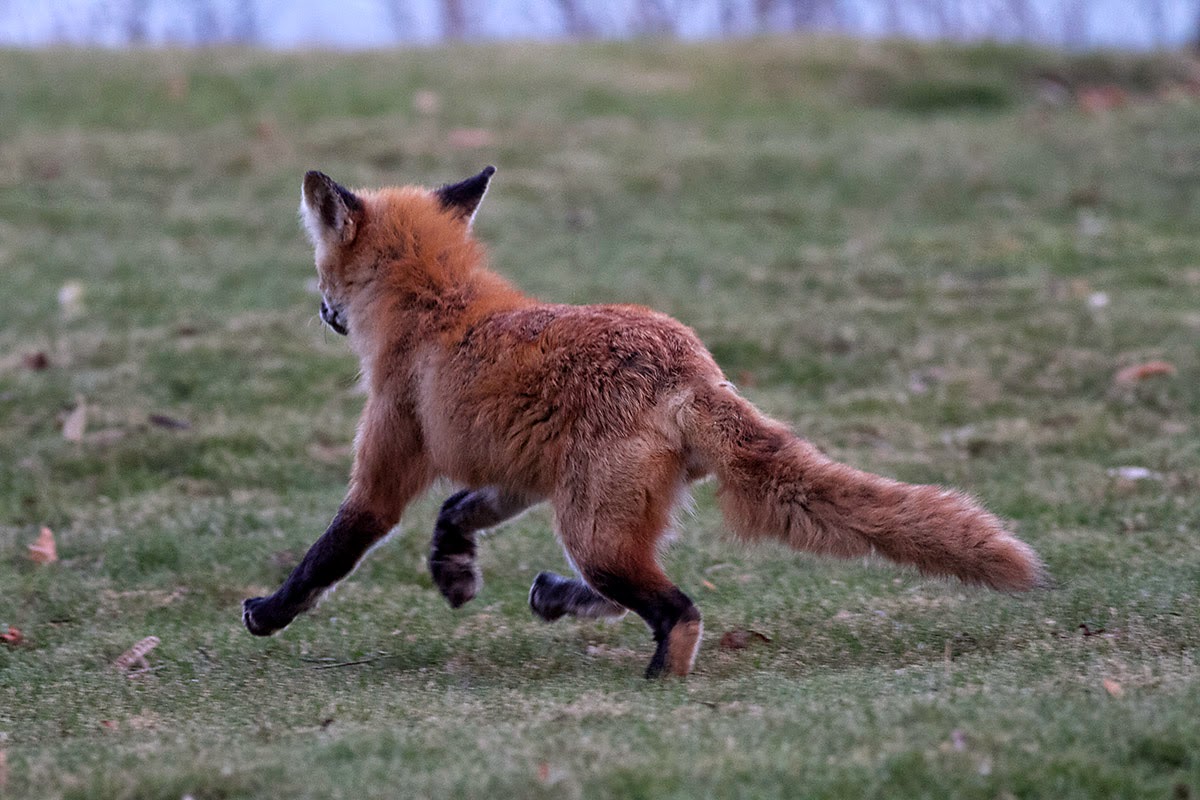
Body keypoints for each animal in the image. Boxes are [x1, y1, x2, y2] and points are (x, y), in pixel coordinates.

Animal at [241, 166, 1050, 678]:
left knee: (678, 607)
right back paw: (558, 598)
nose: (325, 312)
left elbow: (328, 555)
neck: (436, 308)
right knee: (625, 584)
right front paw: (455, 569)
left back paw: (660, 675)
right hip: (600, 514)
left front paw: (269, 612)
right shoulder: (522, 474)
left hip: (589, 526)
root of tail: (692, 365)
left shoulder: (388, 463)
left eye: (320, 273)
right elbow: (457, 510)